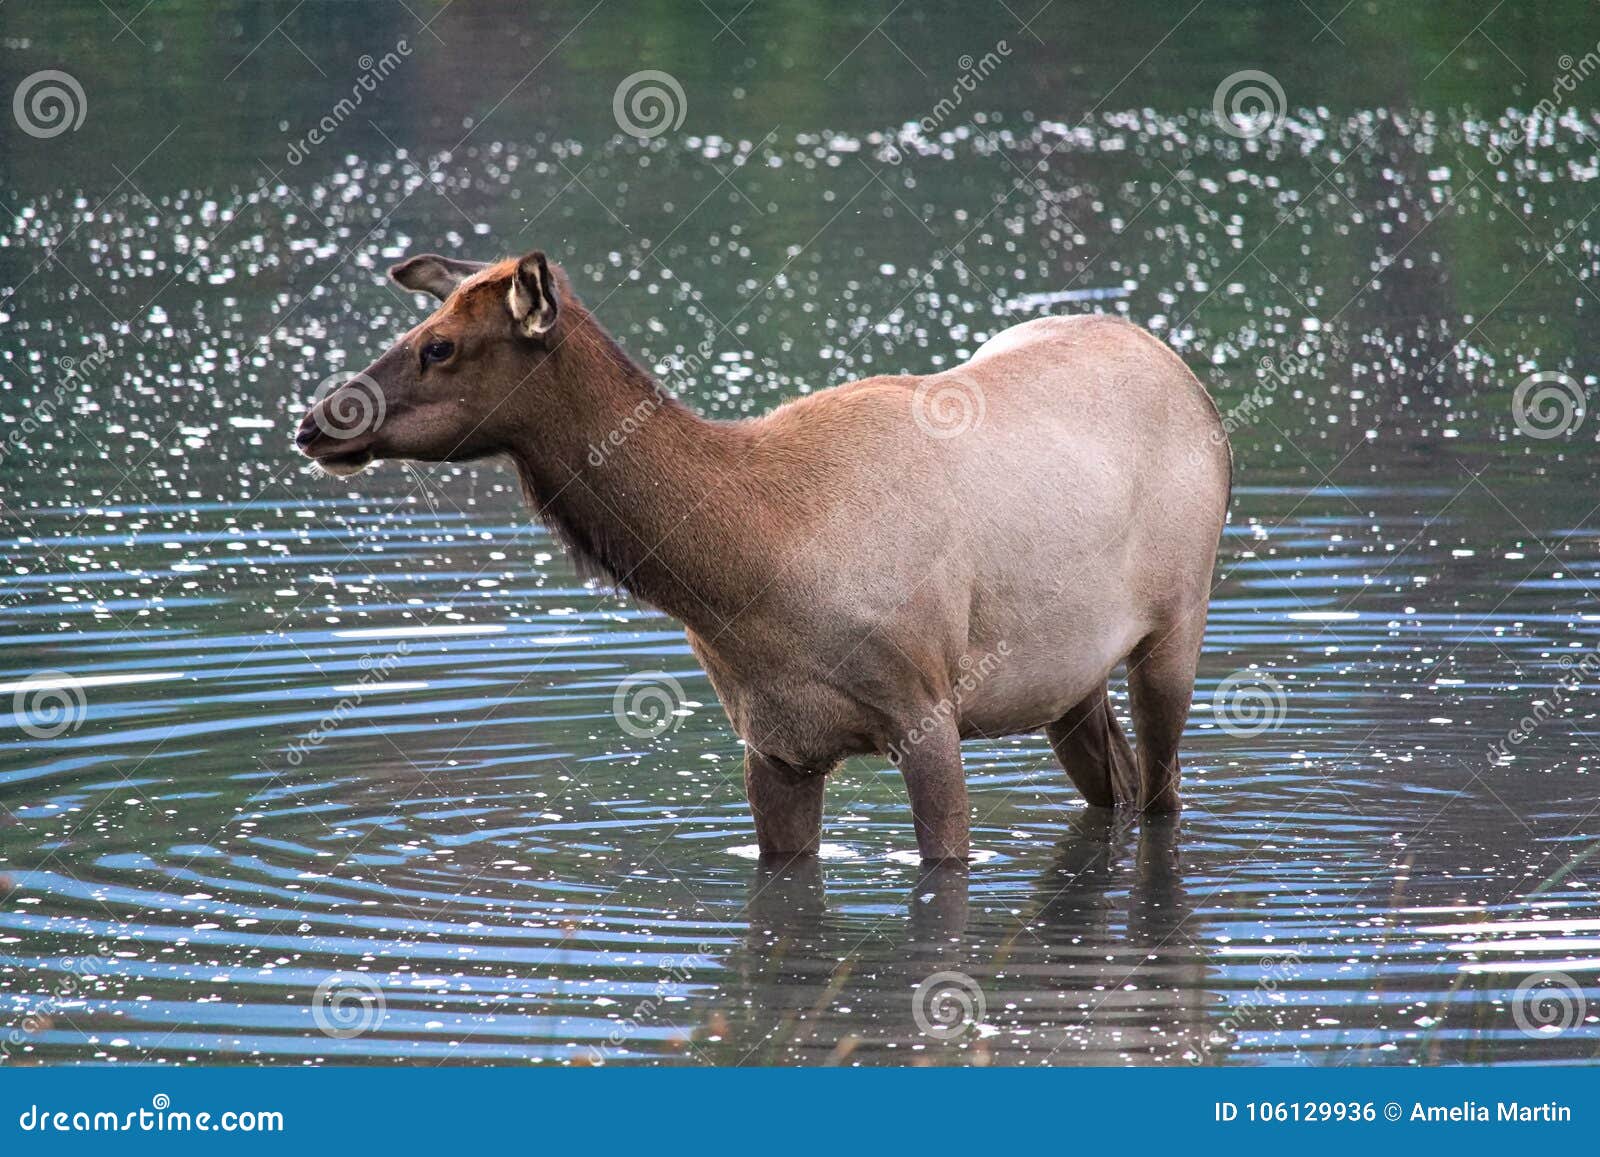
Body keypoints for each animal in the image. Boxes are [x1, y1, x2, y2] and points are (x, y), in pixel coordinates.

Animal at [295, 249, 1231, 865]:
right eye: (421, 326)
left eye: (440, 345)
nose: (316, 421)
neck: (749, 563)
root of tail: (1194, 385)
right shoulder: (772, 742)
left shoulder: (926, 709)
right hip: (1067, 677)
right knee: (1116, 782)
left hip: (1176, 627)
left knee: (1163, 793)